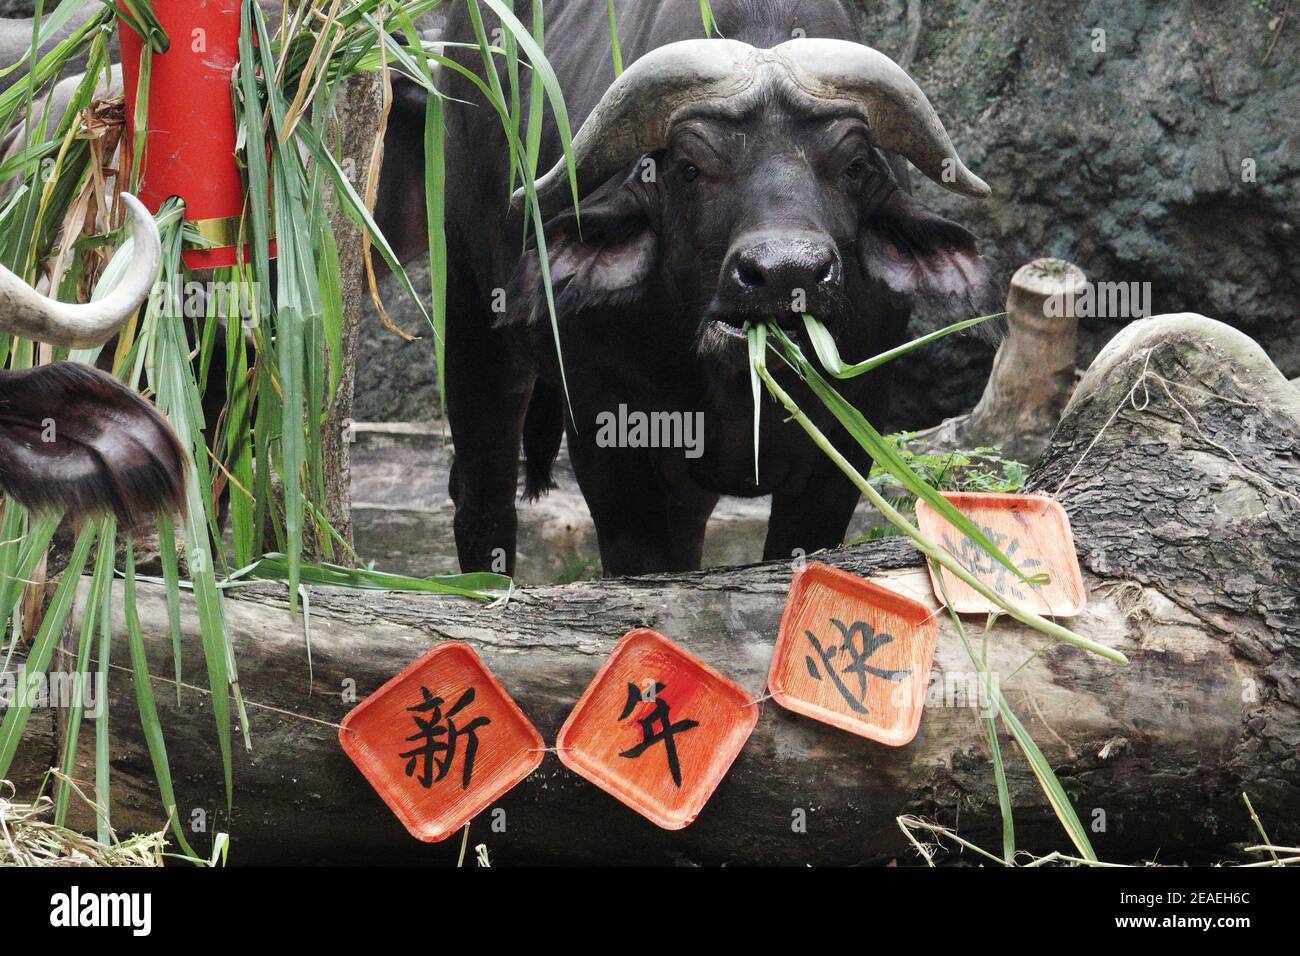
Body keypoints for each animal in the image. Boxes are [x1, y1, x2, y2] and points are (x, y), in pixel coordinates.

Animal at [378, 0, 997, 577]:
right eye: (690, 167)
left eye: (854, 166)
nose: (787, 273)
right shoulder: (608, 437)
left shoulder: (847, 440)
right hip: (471, 319)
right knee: (481, 497)